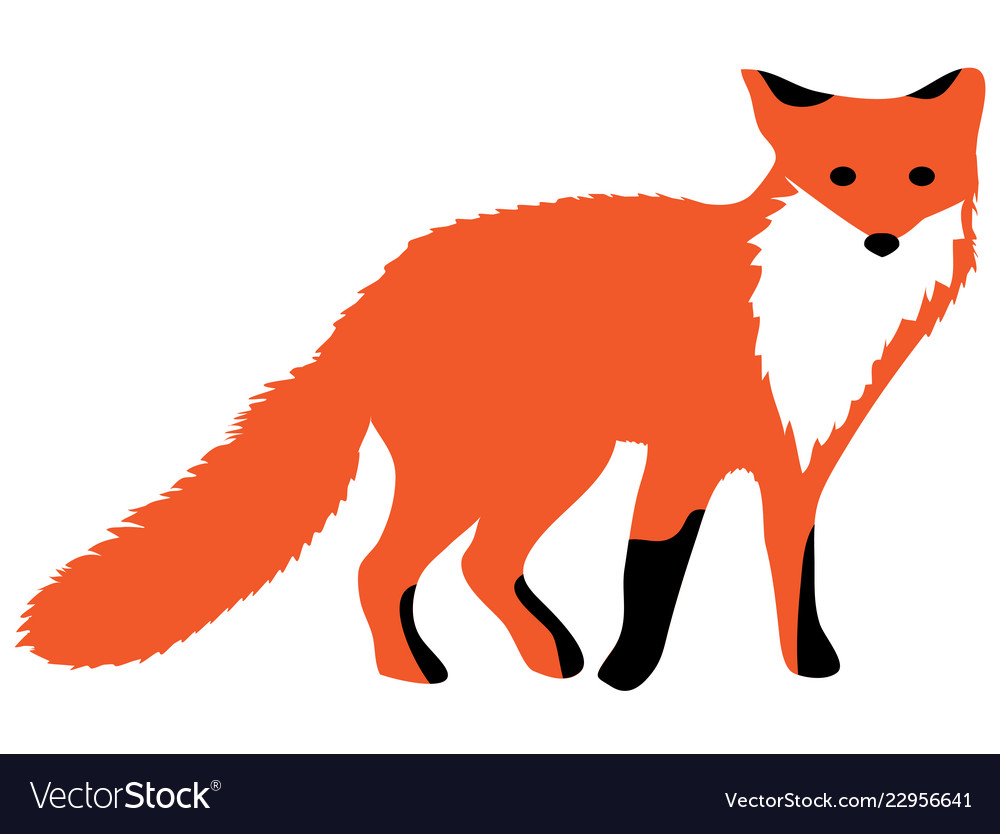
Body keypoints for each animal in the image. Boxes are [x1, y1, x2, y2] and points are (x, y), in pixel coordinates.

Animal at [18, 69, 985, 690]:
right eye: (840, 178)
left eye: (921, 178)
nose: (883, 241)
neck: (807, 317)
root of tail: (364, 306)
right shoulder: (680, 461)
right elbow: (651, 574)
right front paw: (628, 678)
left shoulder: (799, 468)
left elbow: (797, 578)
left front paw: (809, 668)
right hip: (511, 471)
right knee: (383, 570)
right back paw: (416, 675)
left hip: (552, 468)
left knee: (480, 567)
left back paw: (545, 657)